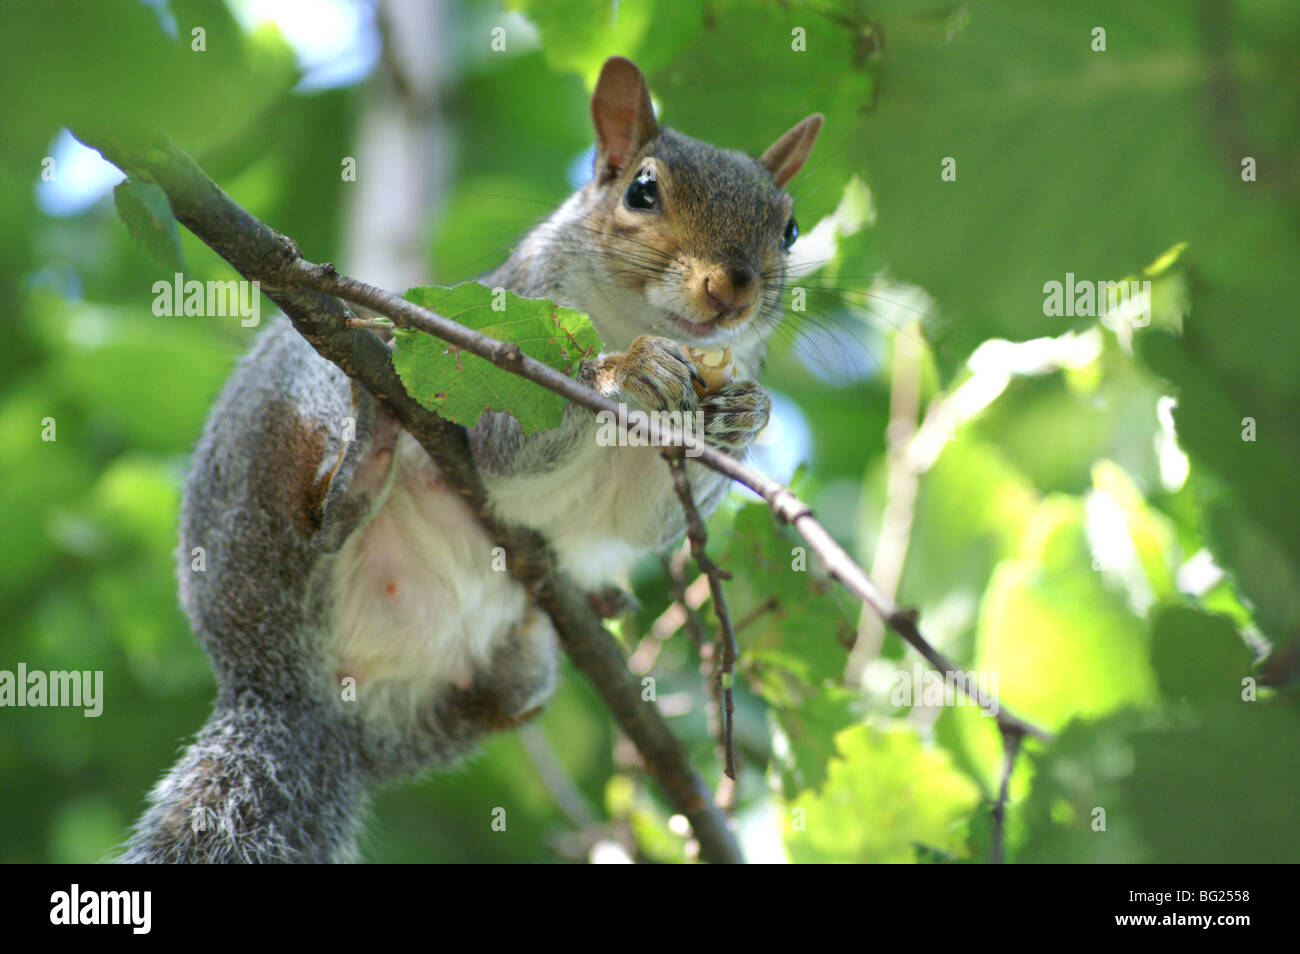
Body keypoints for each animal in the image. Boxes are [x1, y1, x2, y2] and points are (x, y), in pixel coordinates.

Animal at [118, 57, 821, 863]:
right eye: (642, 191)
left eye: (790, 228)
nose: (732, 287)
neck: (628, 319)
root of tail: (289, 690)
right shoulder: (488, 341)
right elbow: (497, 439)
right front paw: (622, 372)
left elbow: (638, 522)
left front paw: (745, 414)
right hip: (291, 419)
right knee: (326, 482)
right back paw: (360, 466)